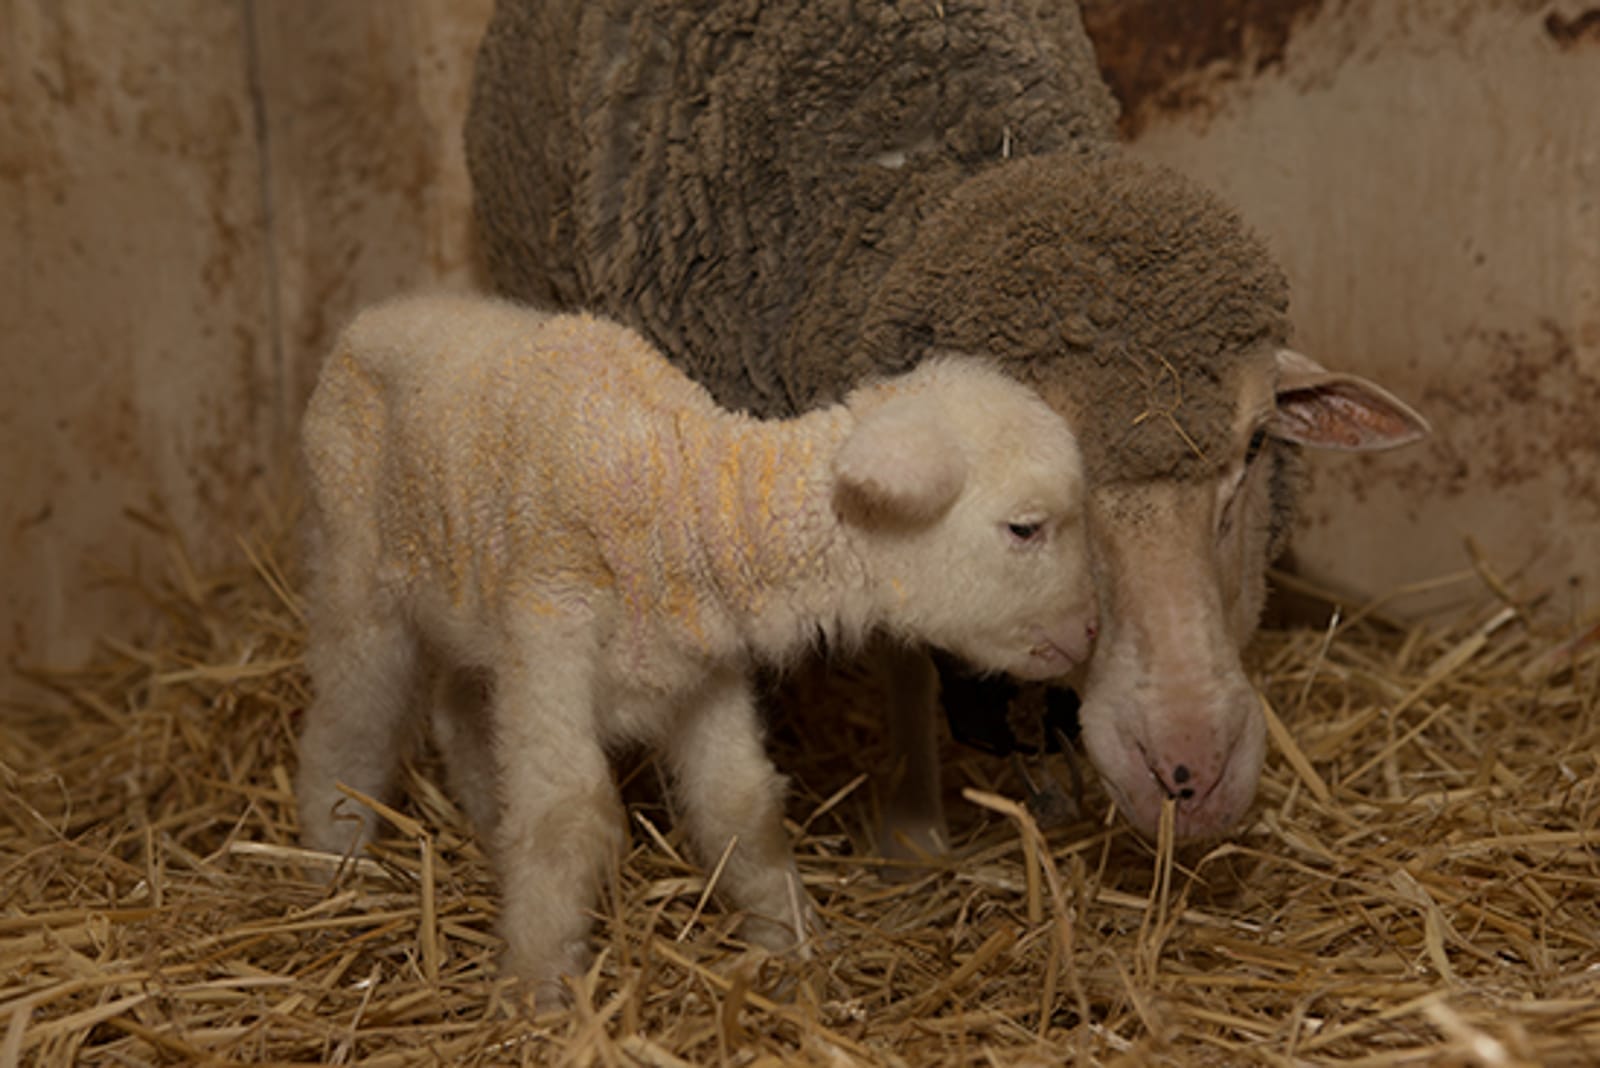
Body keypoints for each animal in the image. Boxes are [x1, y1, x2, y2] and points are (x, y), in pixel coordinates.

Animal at [294, 292, 1098, 995]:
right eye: (1025, 528)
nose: (1089, 632)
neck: (676, 499)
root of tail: (377, 313)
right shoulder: (552, 629)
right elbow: (563, 812)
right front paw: (537, 995)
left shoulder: (700, 674)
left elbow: (740, 806)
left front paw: (793, 949)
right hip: (356, 570)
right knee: (351, 721)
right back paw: (330, 856)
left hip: (475, 615)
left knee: (460, 708)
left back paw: (487, 829)